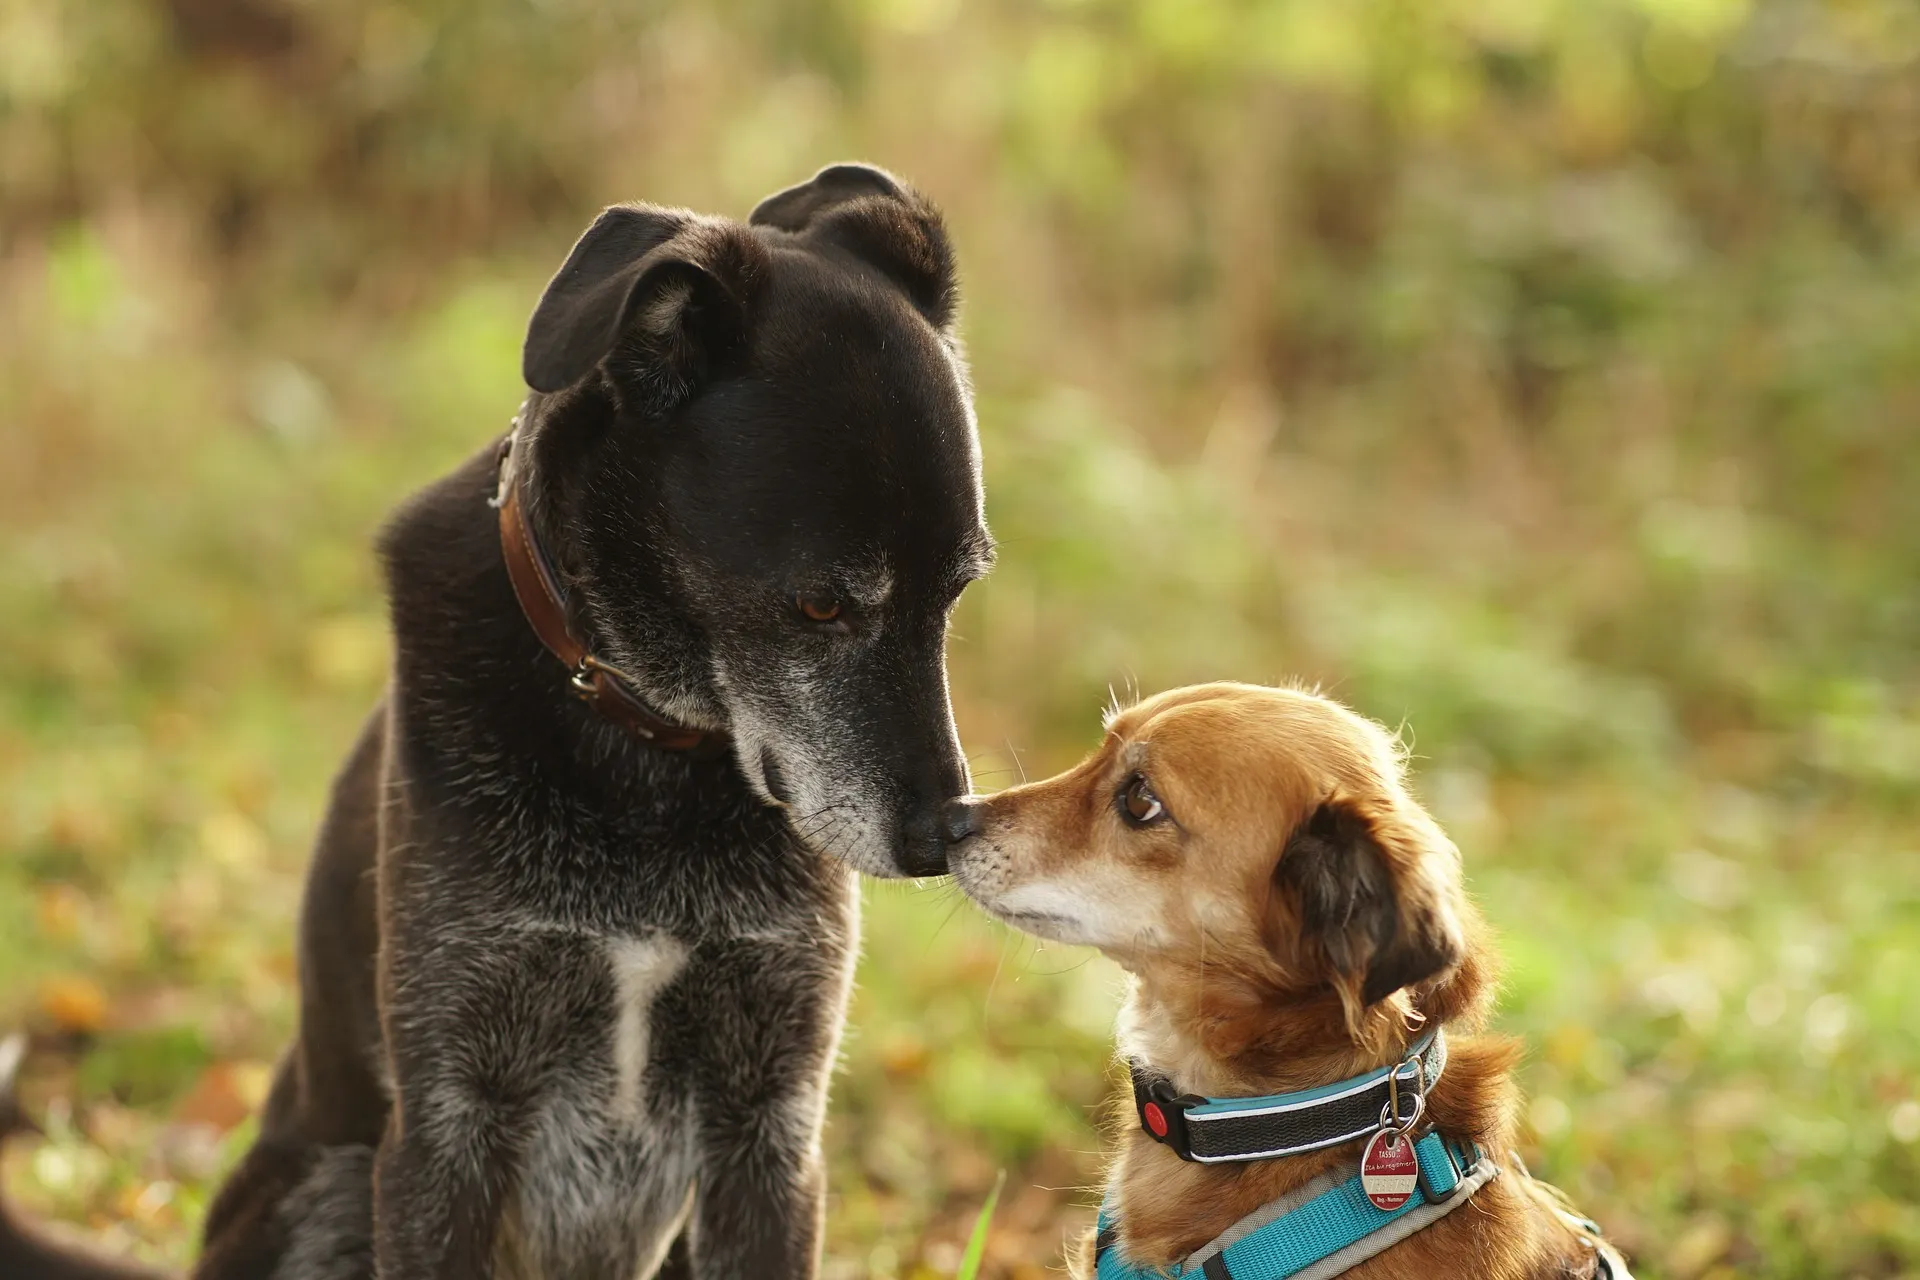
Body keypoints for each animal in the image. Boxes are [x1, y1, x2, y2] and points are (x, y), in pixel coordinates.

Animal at [11, 165, 1006, 1274]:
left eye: (956, 593)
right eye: (822, 605)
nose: (940, 838)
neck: (646, 750)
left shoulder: (768, 1124)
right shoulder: (448, 1119)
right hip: (332, 1188)